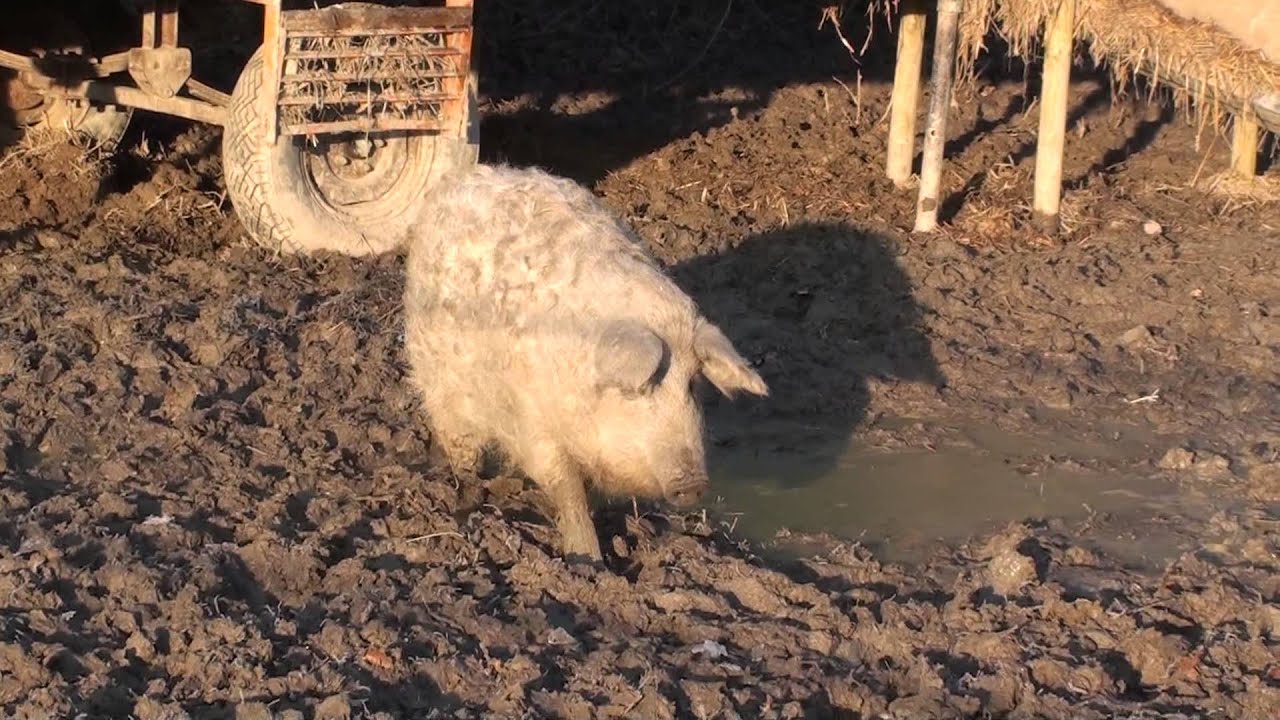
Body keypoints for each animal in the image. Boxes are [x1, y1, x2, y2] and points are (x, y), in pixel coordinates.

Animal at [402, 163, 768, 560]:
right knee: (458, 439)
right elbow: (568, 489)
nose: (693, 483)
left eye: (691, 383)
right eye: (639, 391)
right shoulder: (533, 422)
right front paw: (587, 559)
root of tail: (466, 178)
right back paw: (463, 485)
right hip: (441, 380)